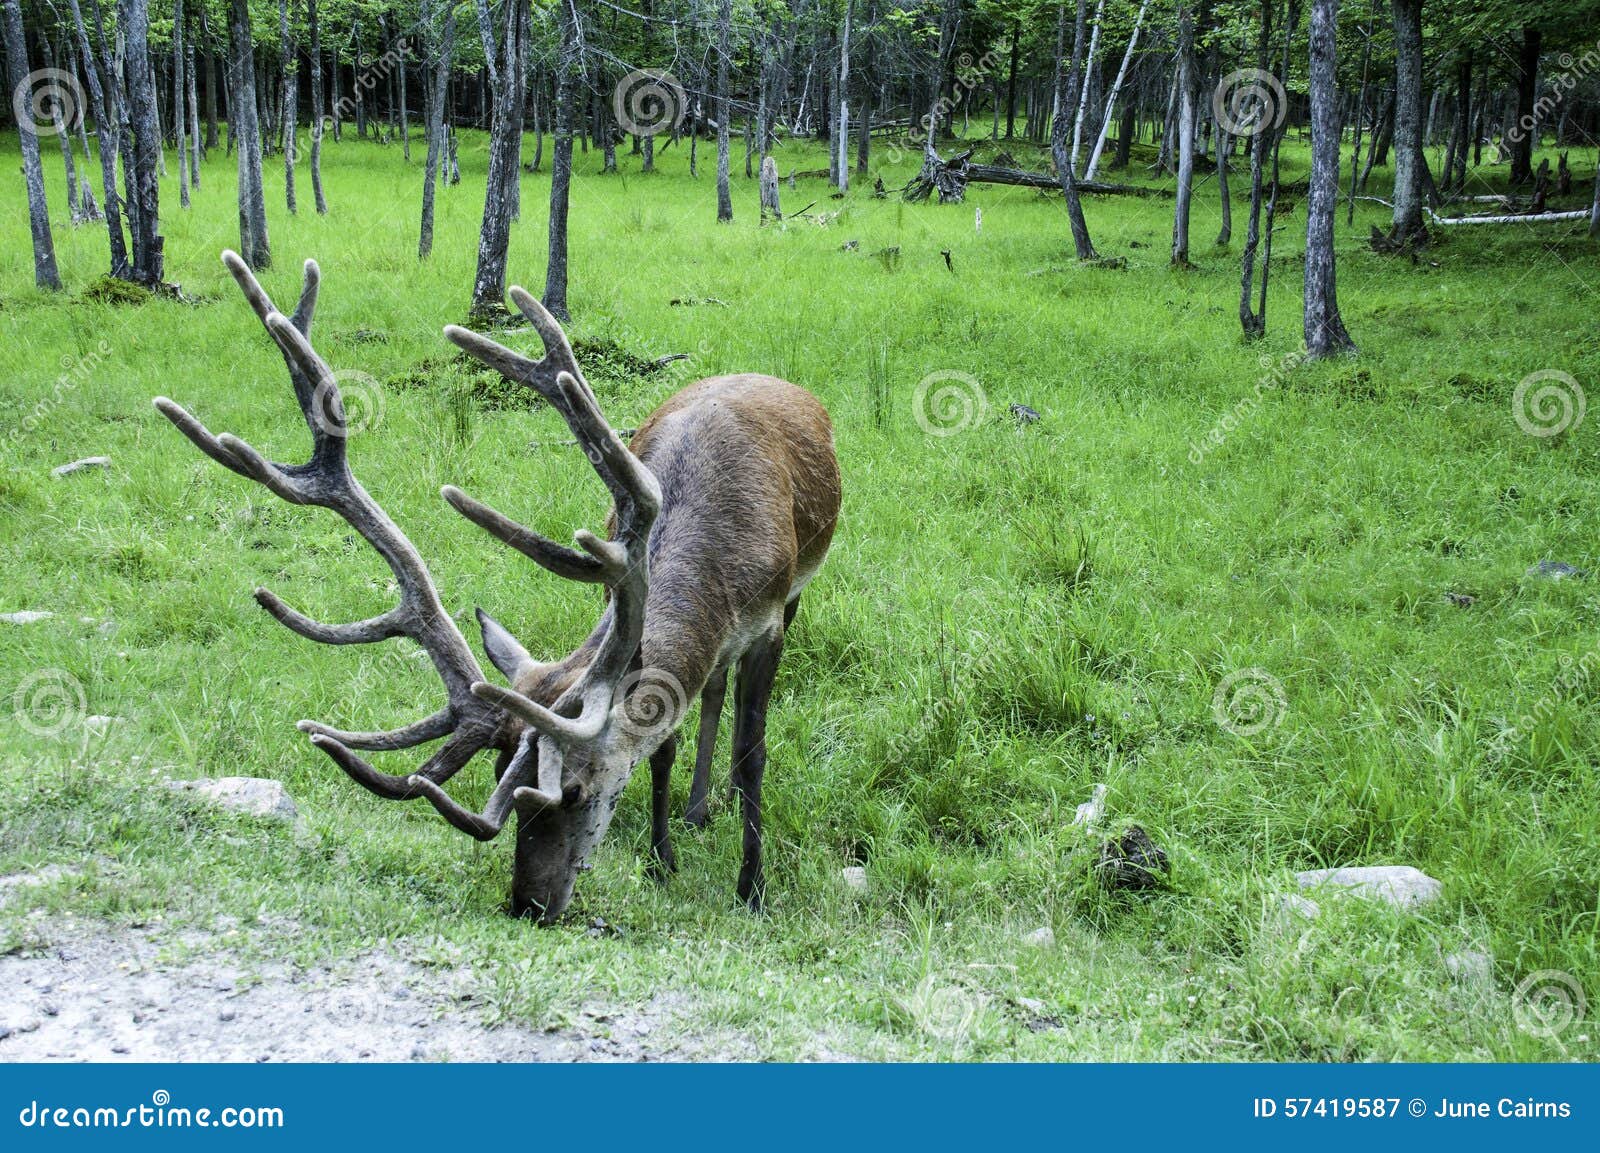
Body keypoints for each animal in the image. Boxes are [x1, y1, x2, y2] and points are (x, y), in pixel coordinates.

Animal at [154, 252, 840, 923]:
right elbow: (664, 741)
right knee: (713, 684)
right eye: (499, 772)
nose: (527, 902)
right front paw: (660, 861)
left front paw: (753, 889)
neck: (717, 578)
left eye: (571, 790)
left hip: (801, 584)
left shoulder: (767, 619)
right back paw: (697, 811)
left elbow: (754, 751)